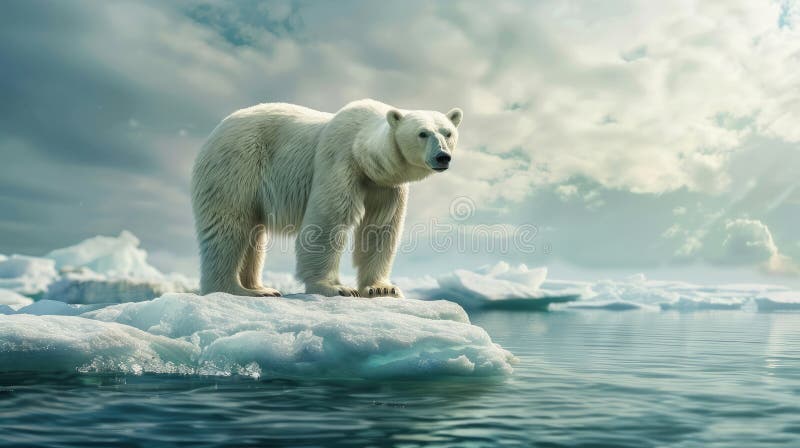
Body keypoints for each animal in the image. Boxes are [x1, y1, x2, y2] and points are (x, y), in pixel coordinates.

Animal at [191, 99, 463, 298]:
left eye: (448, 132)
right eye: (422, 133)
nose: (442, 157)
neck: (365, 156)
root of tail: (214, 133)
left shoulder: (386, 186)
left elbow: (381, 227)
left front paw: (382, 288)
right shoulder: (339, 161)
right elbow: (328, 220)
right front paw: (336, 287)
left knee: (253, 234)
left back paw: (260, 287)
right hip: (237, 166)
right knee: (228, 227)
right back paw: (235, 289)